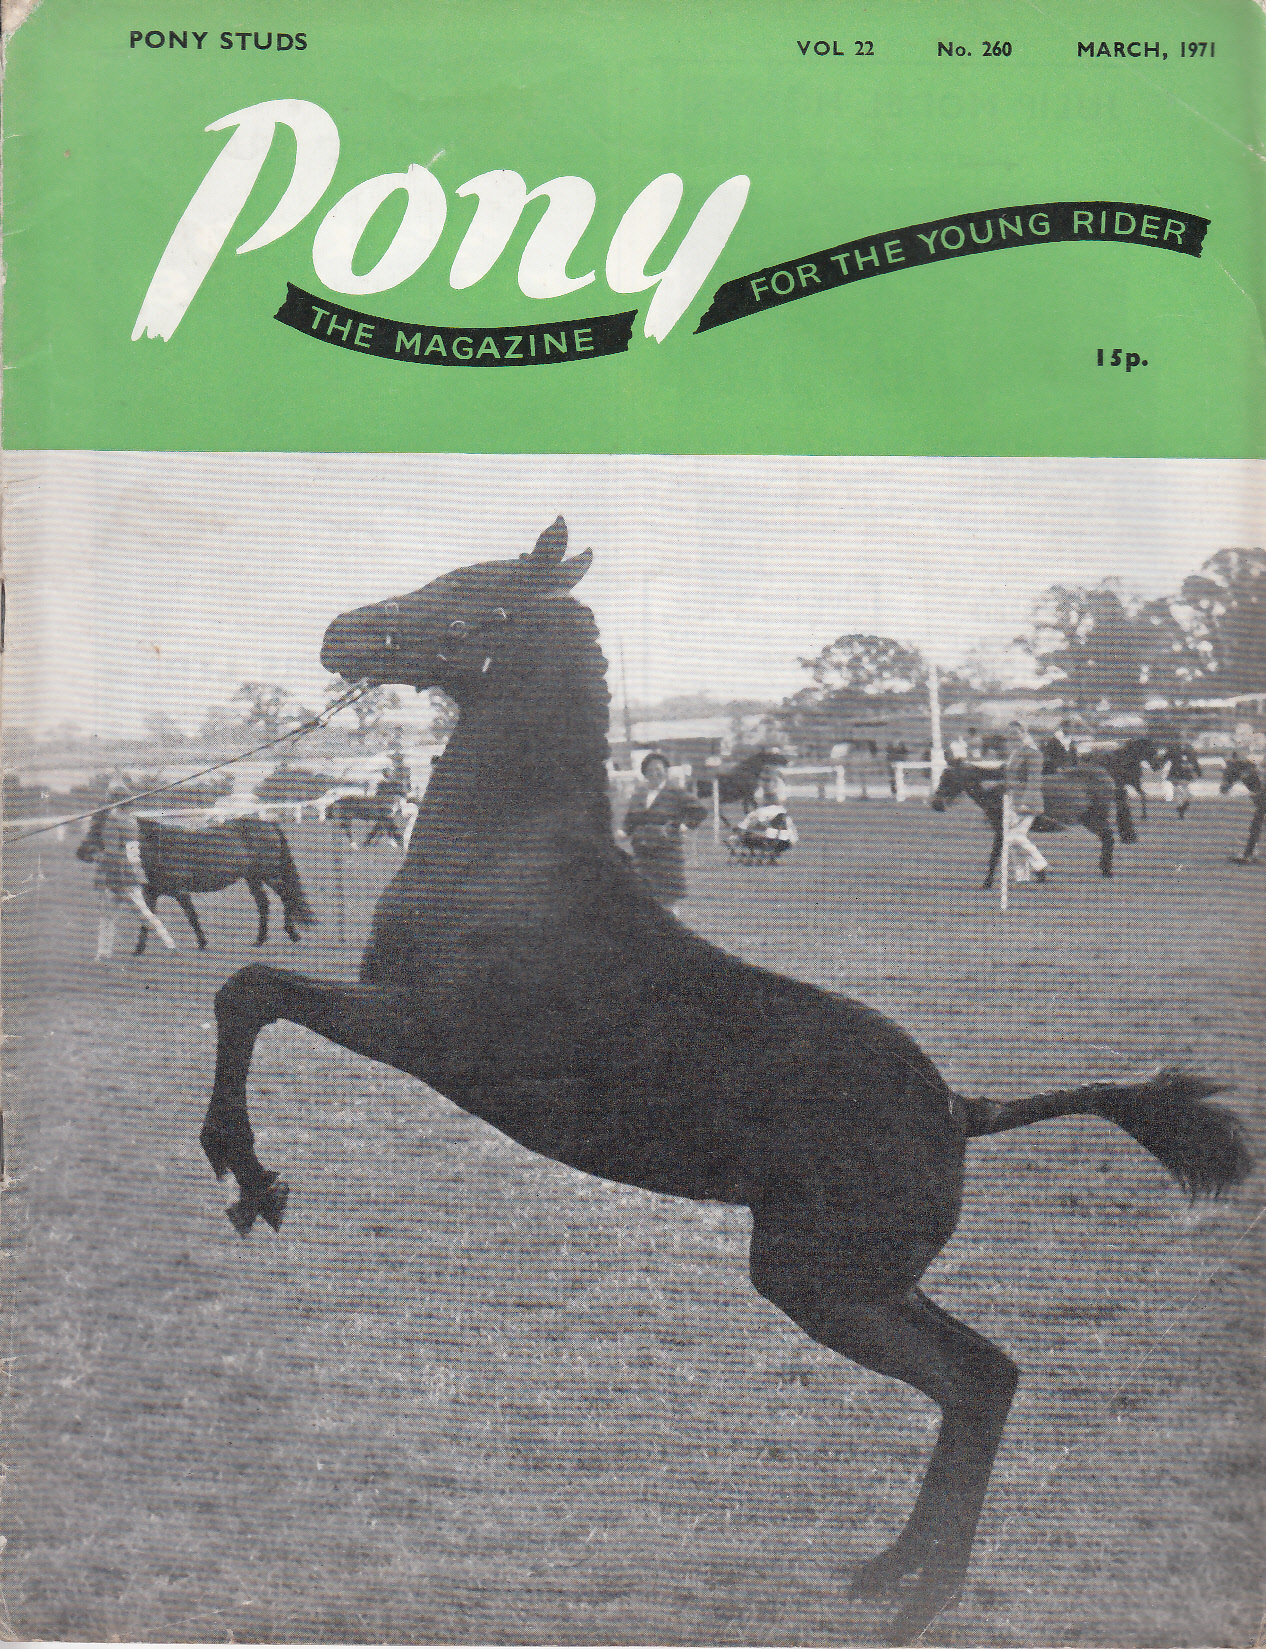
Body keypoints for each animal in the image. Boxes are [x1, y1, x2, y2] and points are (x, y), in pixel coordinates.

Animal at [78, 812, 315, 954]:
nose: (81, 852)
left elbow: (192, 916)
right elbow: (149, 919)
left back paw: (292, 933)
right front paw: (138, 949)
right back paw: (260, 939)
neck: (159, 846)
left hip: (269, 874)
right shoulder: (152, 894)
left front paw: (202, 943)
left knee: (286, 896)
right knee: (264, 904)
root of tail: (269, 825)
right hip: (253, 878)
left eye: (98, 826)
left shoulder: (180, 892)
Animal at [930, 758, 1134, 886]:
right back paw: (1104, 868)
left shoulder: (1002, 831)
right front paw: (1038, 873)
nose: (936, 804)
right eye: (941, 776)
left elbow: (995, 855)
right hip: (1088, 819)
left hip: (1096, 817)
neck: (999, 794)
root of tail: (1106, 775)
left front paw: (987, 882)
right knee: (1107, 838)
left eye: (949, 778)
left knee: (1108, 837)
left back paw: (1107, 870)